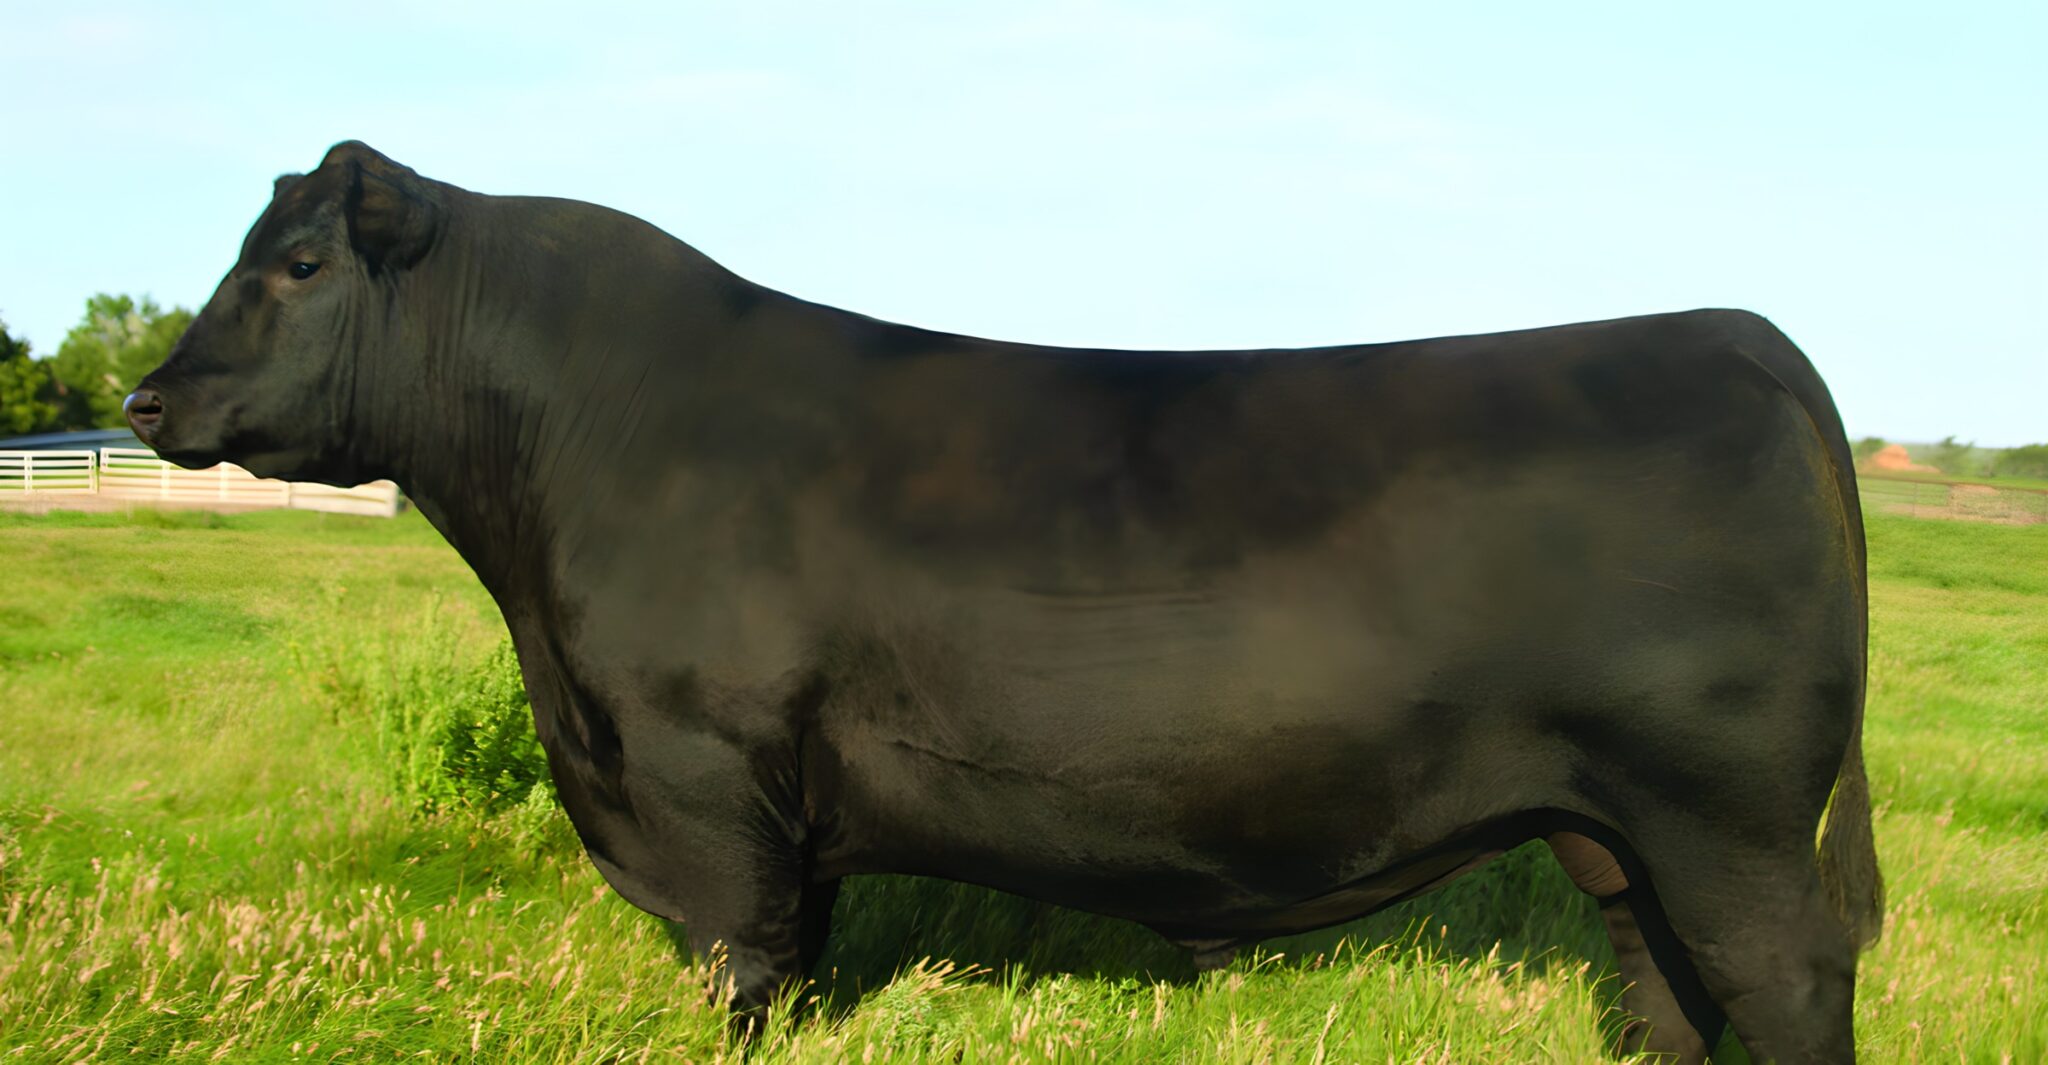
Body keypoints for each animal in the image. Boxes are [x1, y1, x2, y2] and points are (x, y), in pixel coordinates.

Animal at [129, 141, 1882, 1063]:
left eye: (297, 263)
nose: (144, 398)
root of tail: (1735, 334)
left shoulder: (703, 773)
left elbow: (744, 970)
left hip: (1725, 811)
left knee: (1785, 984)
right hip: (1618, 825)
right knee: (1663, 987)